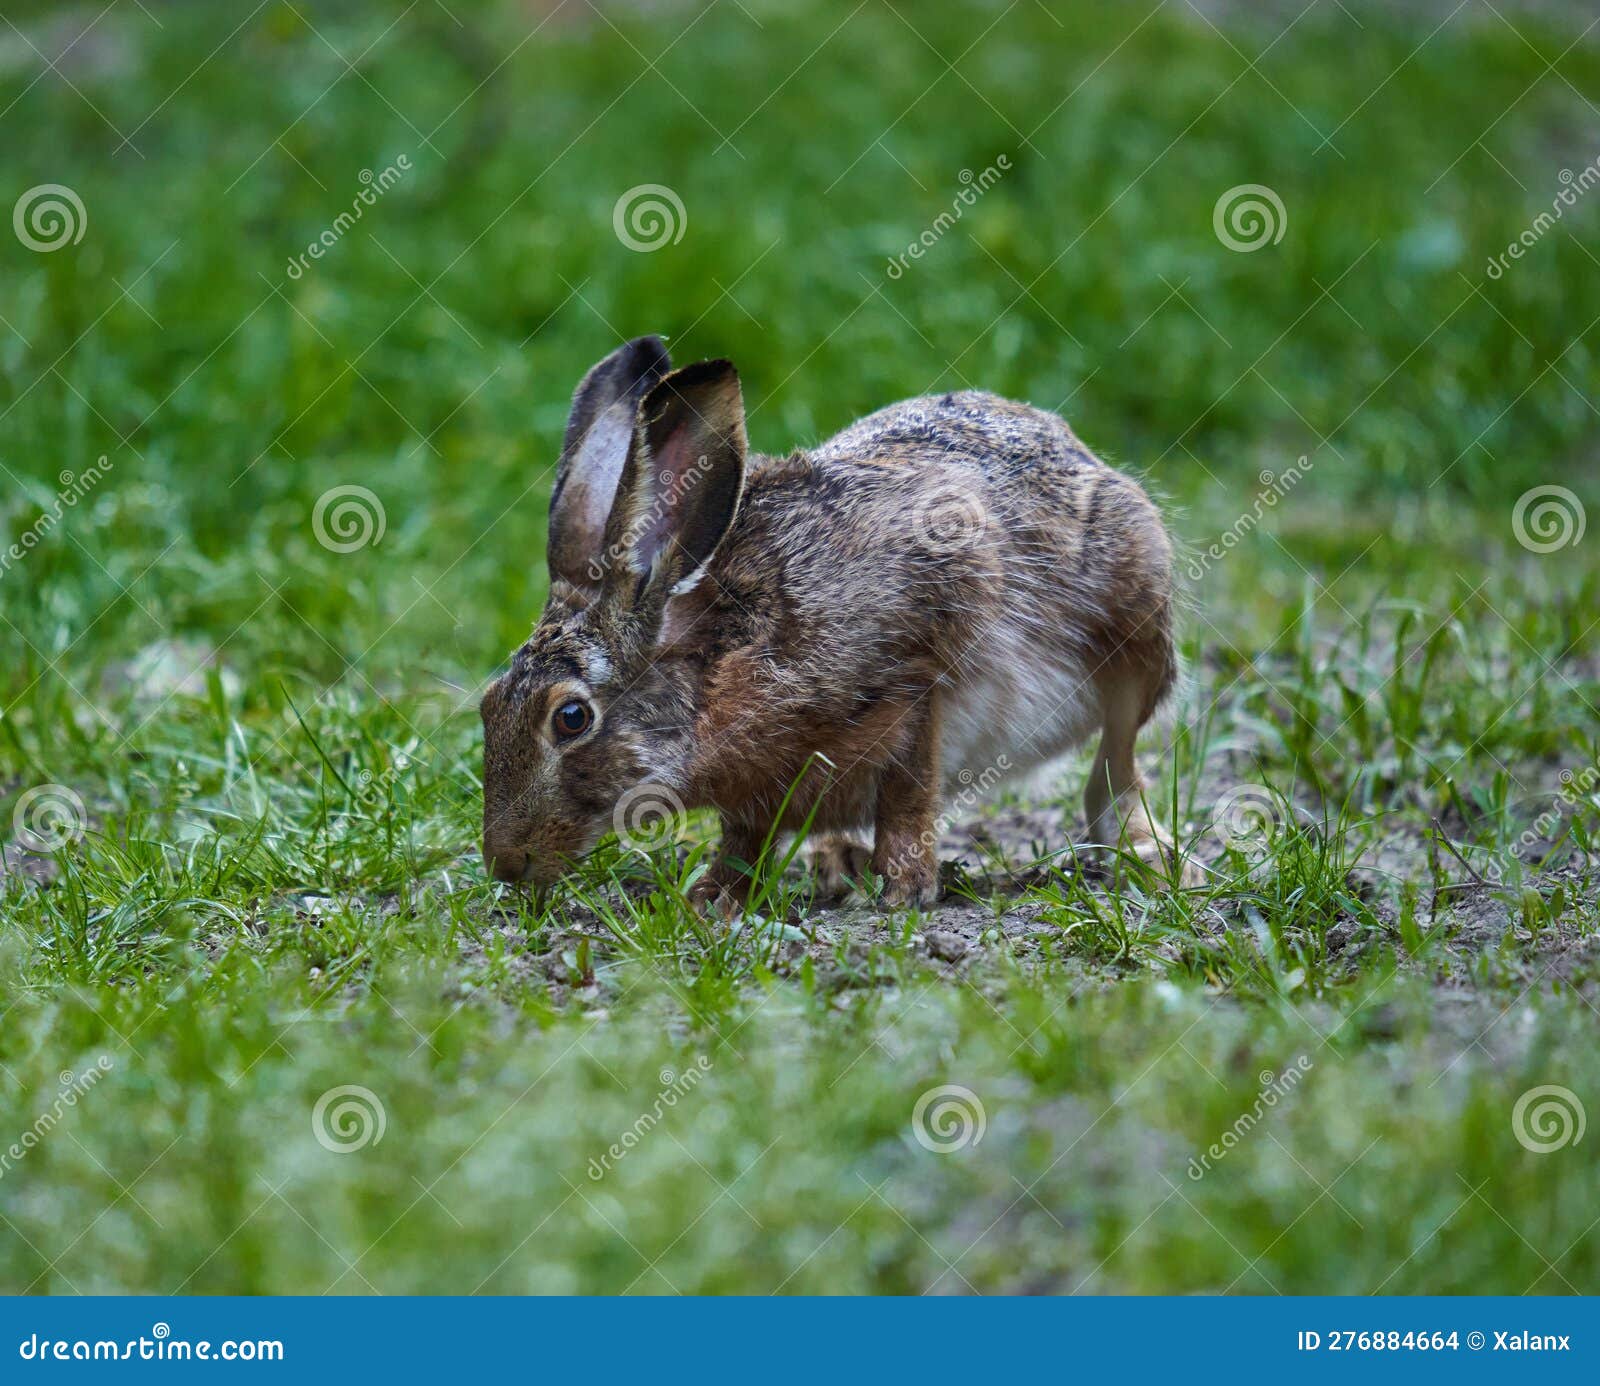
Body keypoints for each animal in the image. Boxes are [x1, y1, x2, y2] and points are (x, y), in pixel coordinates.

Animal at [480, 335, 1196, 909]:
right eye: (489, 705)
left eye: (571, 718)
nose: (505, 863)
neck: (720, 664)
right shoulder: (754, 792)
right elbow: (745, 837)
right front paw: (712, 896)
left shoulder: (919, 663)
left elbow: (909, 788)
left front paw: (905, 890)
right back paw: (836, 864)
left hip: (1135, 631)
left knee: (1115, 761)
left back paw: (1147, 856)